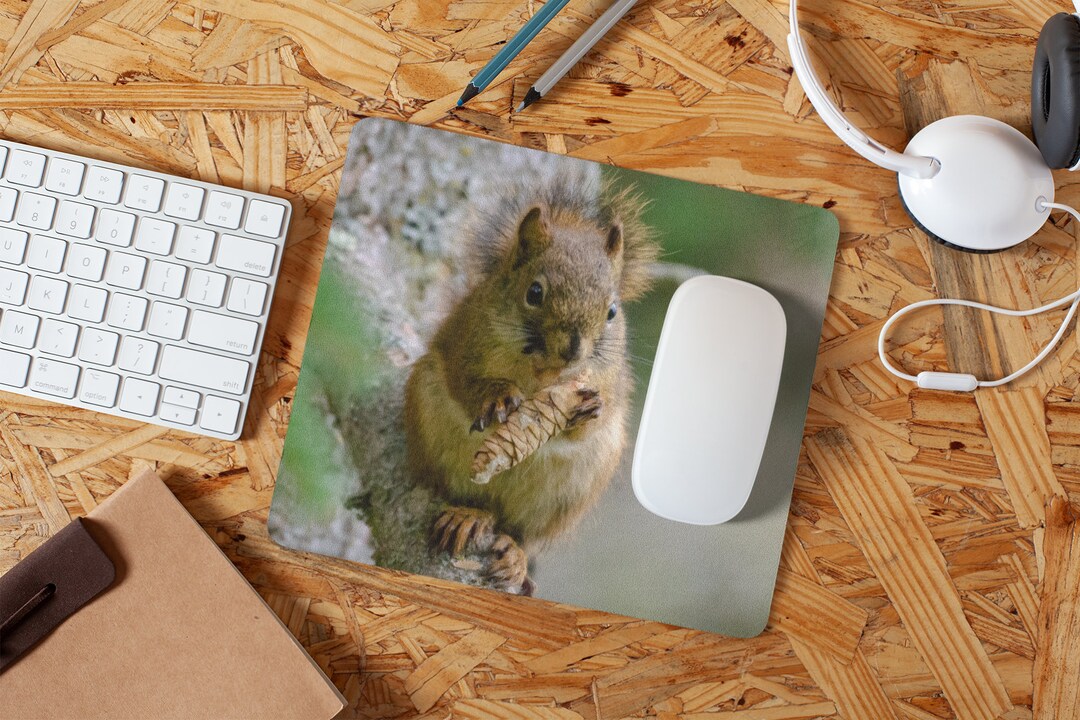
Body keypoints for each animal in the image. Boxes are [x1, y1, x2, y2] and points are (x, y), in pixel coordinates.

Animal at [403, 174, 657, 593]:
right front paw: (497, 397)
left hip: (572, 493)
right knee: (470, 500)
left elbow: (592, 418)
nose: (572, 349)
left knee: (521, 532)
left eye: (612, 311)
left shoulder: (607, 380)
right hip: (432, 430)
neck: (542, 376)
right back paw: (468, 515)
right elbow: (465, 382)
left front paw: (590, 408)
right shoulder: (464, 343)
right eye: (534, 292)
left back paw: (514, 555)